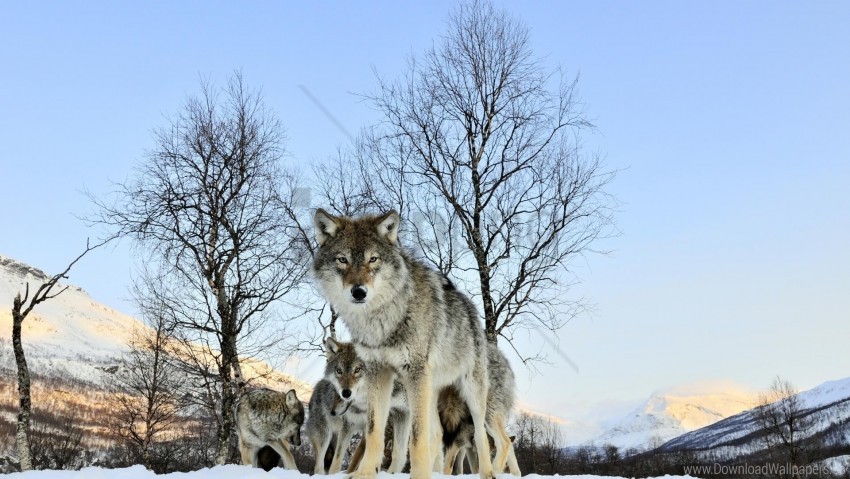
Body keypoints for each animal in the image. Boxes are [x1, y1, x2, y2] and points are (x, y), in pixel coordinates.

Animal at [313, 209, 494, 479]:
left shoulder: (413, 373)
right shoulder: (378, 372)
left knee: (480, 434)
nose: (359, 292)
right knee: (437, 434)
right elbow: (374, 431)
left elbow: (416, 439)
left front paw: (419, 476)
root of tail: (469, 306)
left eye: (373, 259)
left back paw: (488, 473)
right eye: (342, 260)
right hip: (430, 392)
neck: (382, 320)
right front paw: (365, 473)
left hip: (470, 392)